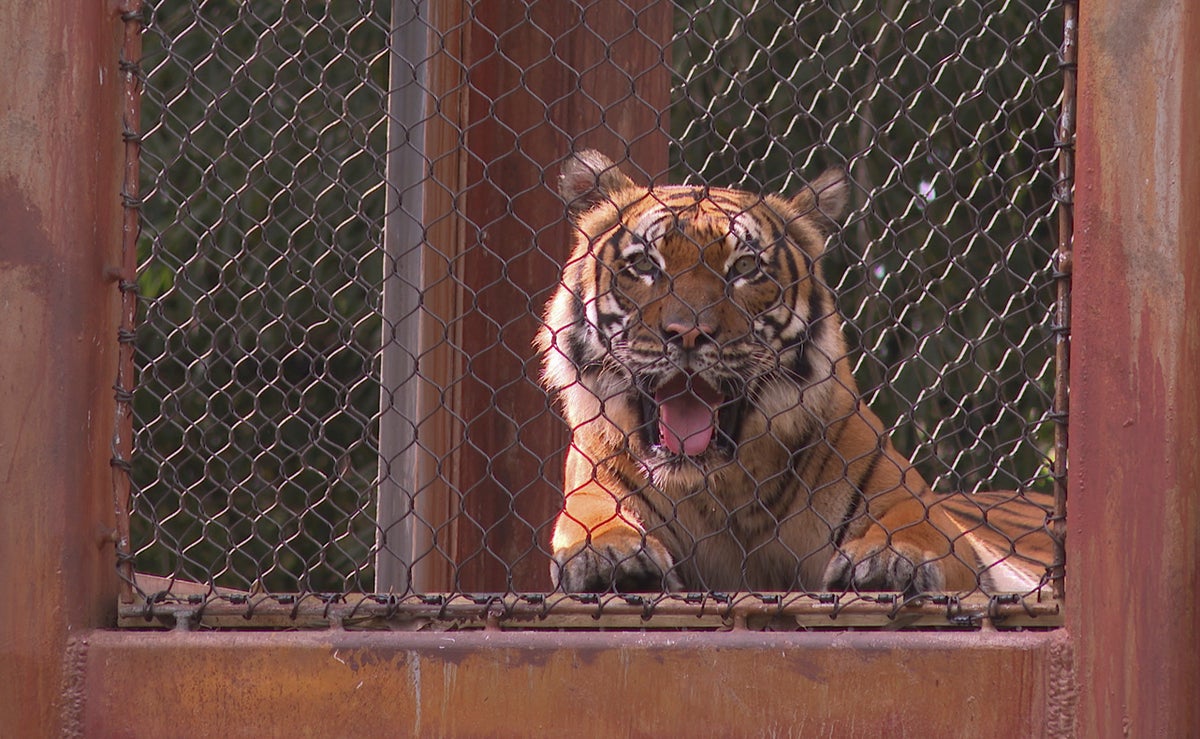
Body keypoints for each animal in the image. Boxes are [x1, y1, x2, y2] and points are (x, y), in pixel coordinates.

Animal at [535, 150, 1054, 595]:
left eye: (744, 267)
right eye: (645, 263)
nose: (688, 333)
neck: (724, 488)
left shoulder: (924, 515)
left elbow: (911, 527)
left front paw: (890, 557)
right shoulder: (594, 482)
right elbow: (595, 518)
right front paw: (608, 553)